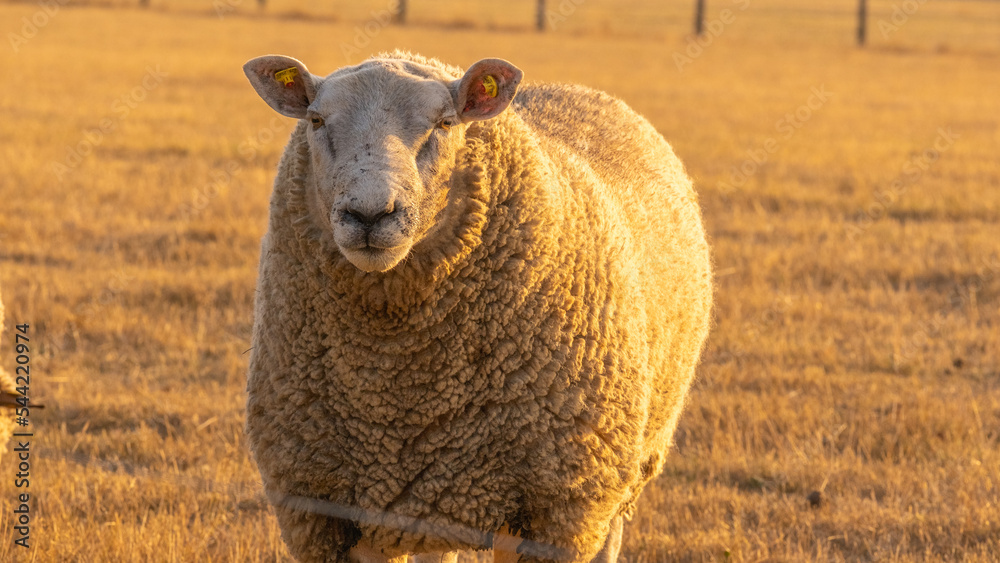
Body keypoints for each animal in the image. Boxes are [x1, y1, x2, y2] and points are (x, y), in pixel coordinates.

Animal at [243, 51, 712, 563]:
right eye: (316, 120)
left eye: (445, 123)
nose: (369, 215)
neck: (401, 390)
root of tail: (582, 90)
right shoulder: (325, 508)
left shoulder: (559, 507)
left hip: (620, 466)